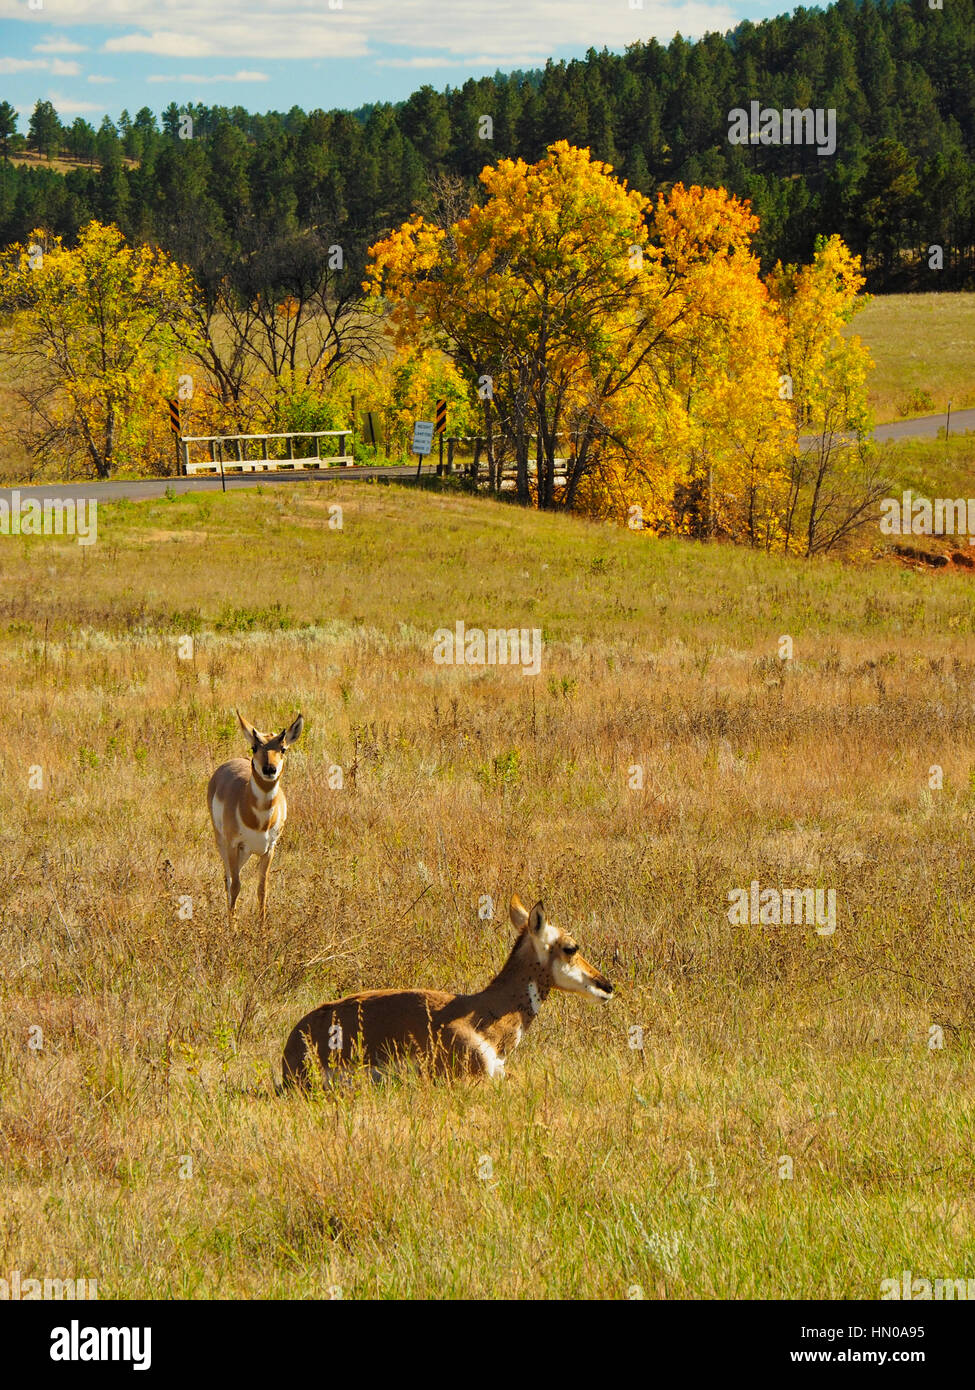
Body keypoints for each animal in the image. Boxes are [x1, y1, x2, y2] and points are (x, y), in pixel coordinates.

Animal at [207, 710, 303, 928]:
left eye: (283, 748)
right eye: (255, 747)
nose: (269, 769)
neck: (259, 820)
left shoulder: (269, 850)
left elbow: (262, 888)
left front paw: (262, 928)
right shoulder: (234, 845)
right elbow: (235, 885)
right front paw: (232, 928)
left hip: (246, 853)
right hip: (224, 844)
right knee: (228, 879)